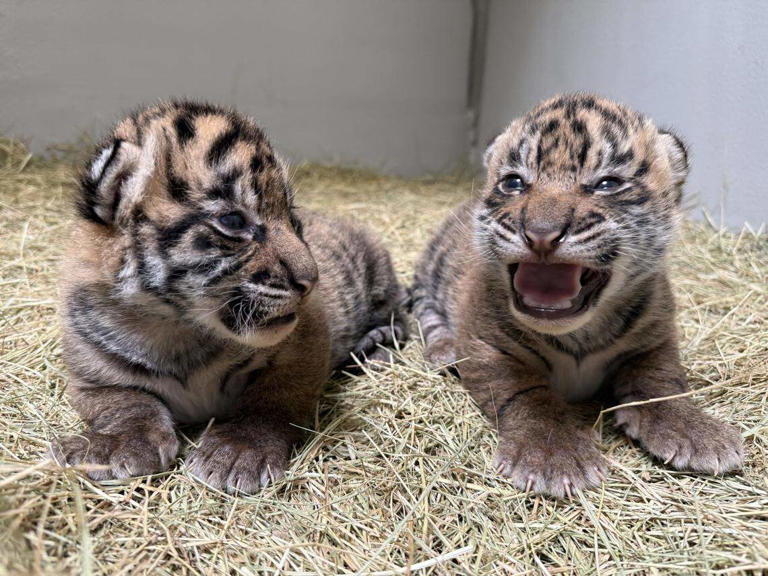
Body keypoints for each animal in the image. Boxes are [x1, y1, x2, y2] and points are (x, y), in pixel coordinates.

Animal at [50, 100, 407, 494]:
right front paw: (113, 445)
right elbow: (126, 404)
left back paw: (375, 347)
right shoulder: (90, 379)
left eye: (291, 216)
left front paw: (237, 452)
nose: (311, 280)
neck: (175, 331)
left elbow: (274, 395)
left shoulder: (308, 337)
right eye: (234, 221)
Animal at [412, 94, 743, 497]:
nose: (540, 234)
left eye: (607, 183)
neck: (578, 333)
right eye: (513, 183)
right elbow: (528, 393)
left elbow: (661, 381)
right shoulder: (485, 344)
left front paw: (693, 431)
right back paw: (444, 351)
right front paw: (553, 455)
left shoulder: (656, 339)